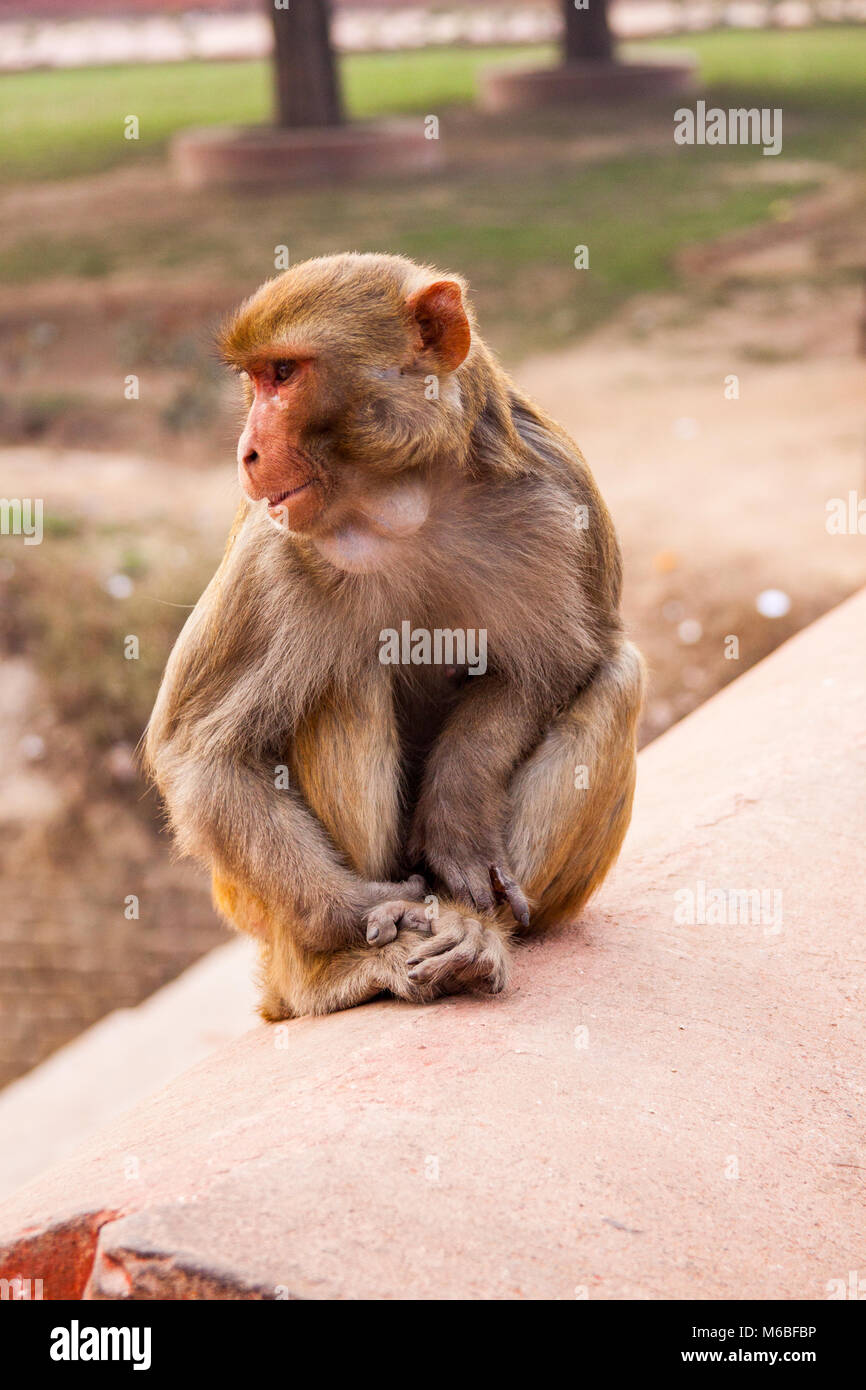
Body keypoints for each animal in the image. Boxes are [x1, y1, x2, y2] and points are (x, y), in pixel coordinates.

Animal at [145, 252, 644, 1022]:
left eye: (283, 374)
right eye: (255, 380)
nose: (247, 452)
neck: (406, 501)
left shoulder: (558, 501)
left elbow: (551, 670)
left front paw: (456, 814)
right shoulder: (274, 550)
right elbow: (202, 754)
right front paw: (362, 908)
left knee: (617, 676)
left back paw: (476, 933)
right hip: (259, 916)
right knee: (343, 679)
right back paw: (335, 971)